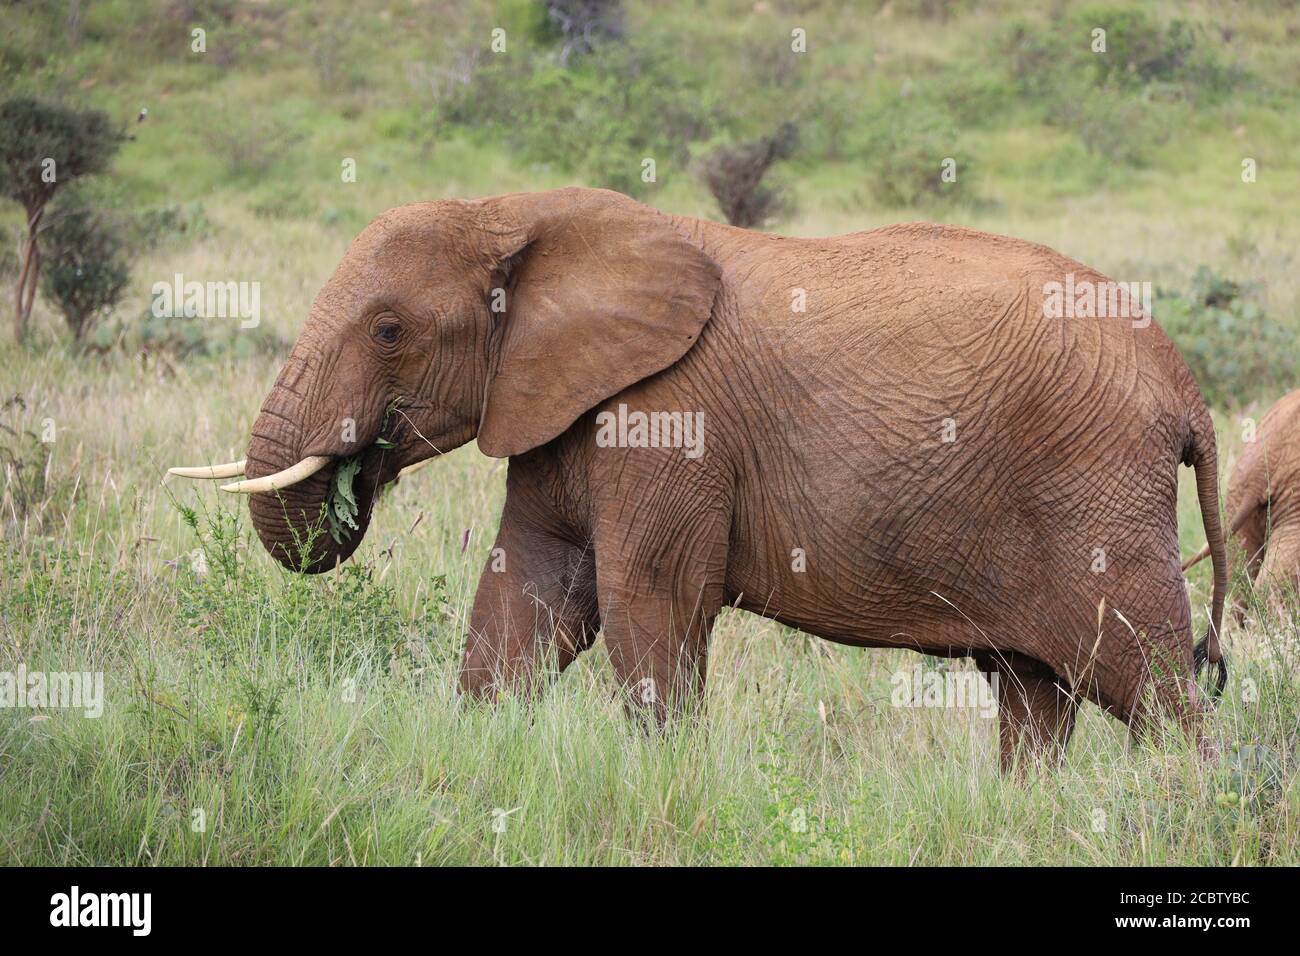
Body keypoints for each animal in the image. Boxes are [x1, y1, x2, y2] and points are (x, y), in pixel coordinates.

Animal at [171, 187, 1227, 769]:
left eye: (389, 330)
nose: (354, 478)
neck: (519, 212)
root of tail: (1190, 389)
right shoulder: (564, 407)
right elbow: (529, 592)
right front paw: (475, 762)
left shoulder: (669, 417)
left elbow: (650, 602)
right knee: (1035, 696)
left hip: (1096, 497)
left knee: (1155, 688)